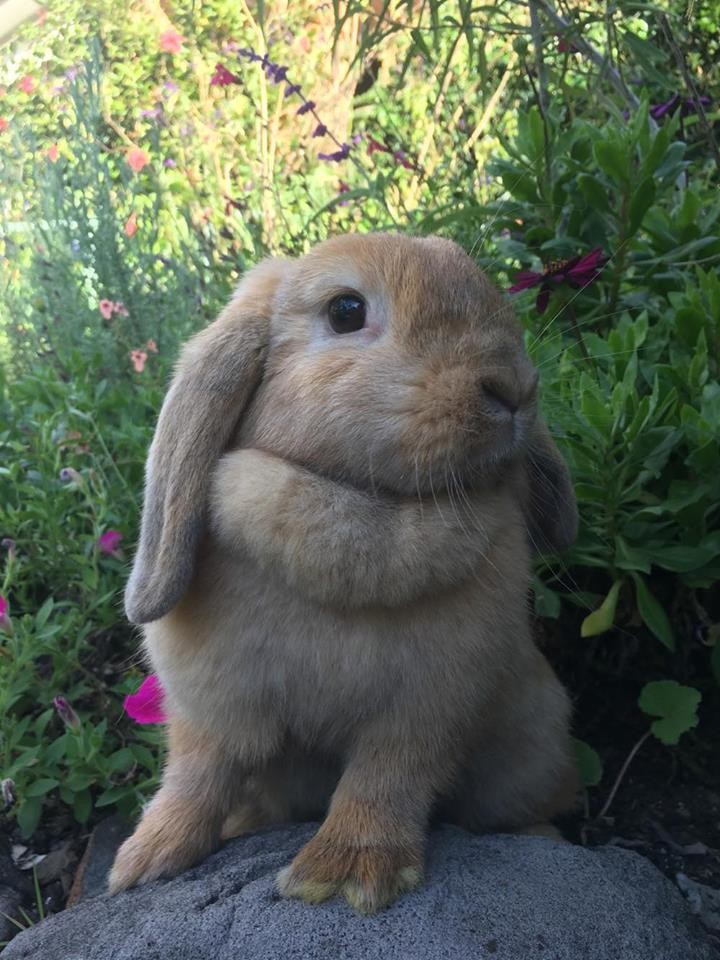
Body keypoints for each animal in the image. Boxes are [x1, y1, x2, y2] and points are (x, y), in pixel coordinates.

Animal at [109, 232, 578, 913]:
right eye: (346, 311)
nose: (515, 387)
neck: (359, 505)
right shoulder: (210, 704)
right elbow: (197, 775)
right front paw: (146, 862)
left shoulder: (426, 709)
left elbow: (383, 781)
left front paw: (343, 875)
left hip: (530, 745)